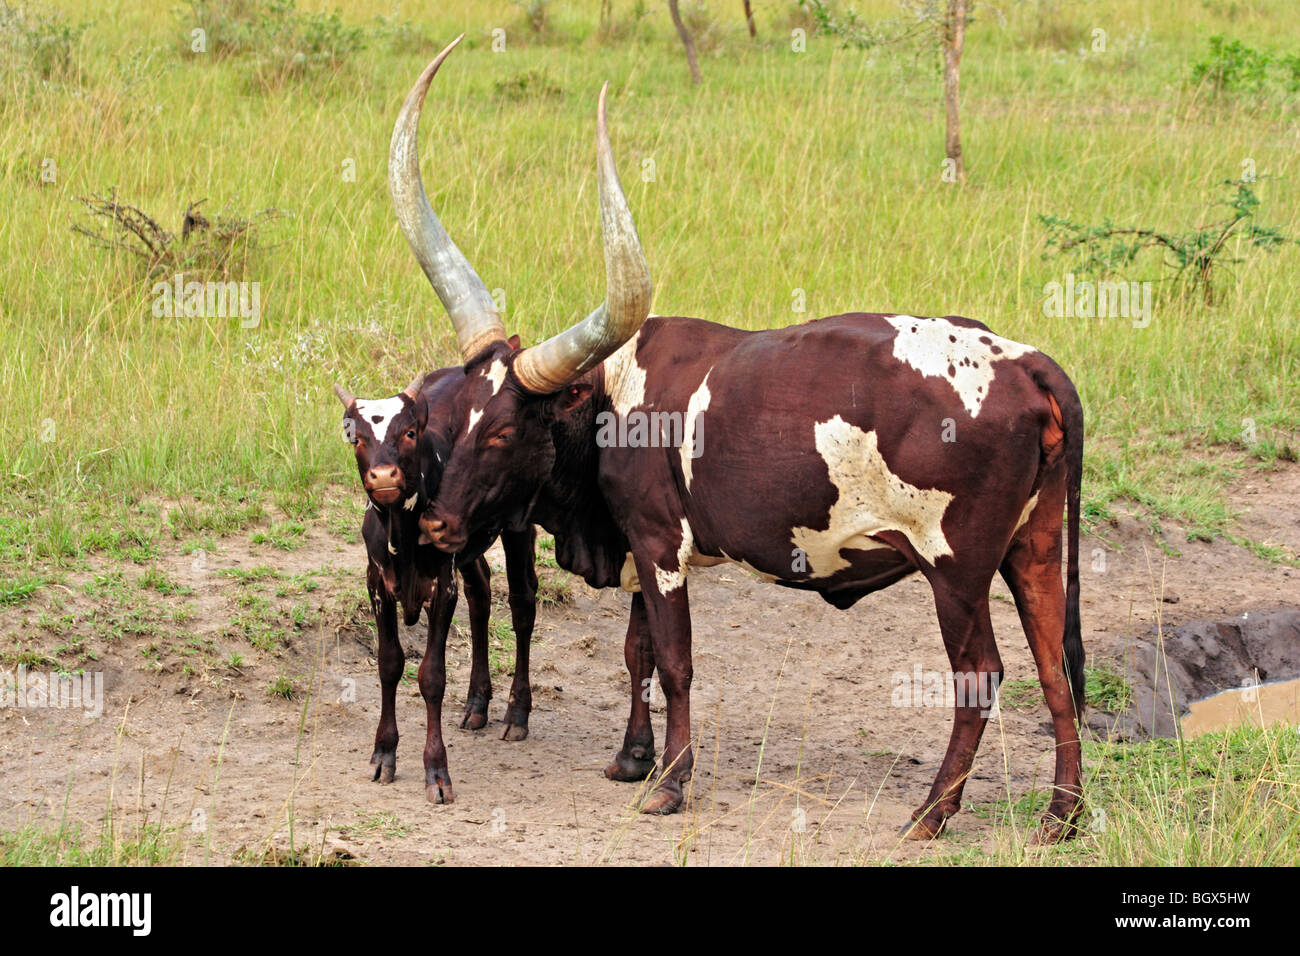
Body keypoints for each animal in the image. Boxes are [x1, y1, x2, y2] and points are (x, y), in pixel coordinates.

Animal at [400, 37, 1086, 842]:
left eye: (506, 431)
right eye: (450, 420)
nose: (435, 525)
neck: (609, 399)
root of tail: (1026, 361)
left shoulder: (660, 544)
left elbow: (674, 662)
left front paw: (669, 782)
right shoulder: (638, 544)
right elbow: (636, 651)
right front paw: (632, 758)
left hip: (957, 566)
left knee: (981, 674)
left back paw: (932, 812)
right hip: (1034, 546)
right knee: (1054, 664)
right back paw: (1063, 815)